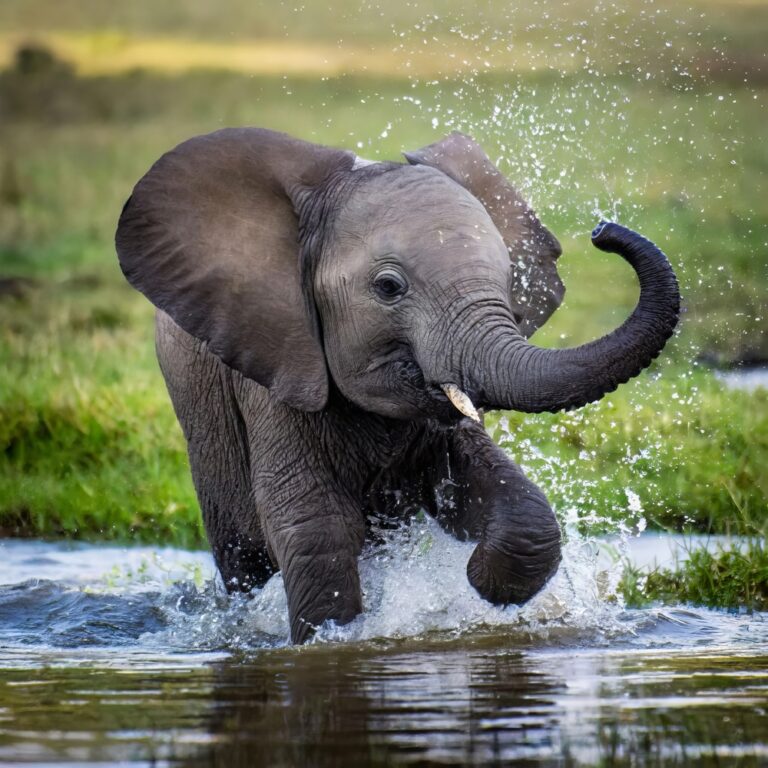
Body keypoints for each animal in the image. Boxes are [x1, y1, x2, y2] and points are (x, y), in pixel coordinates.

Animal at [116, 128, 680, 643]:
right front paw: (332, 639)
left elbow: (495, 493)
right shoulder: (276, 362)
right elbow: (316, 527)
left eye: (508, 278)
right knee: (243, 559)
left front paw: (481, 586)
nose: (602, 230)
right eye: (389, 288)